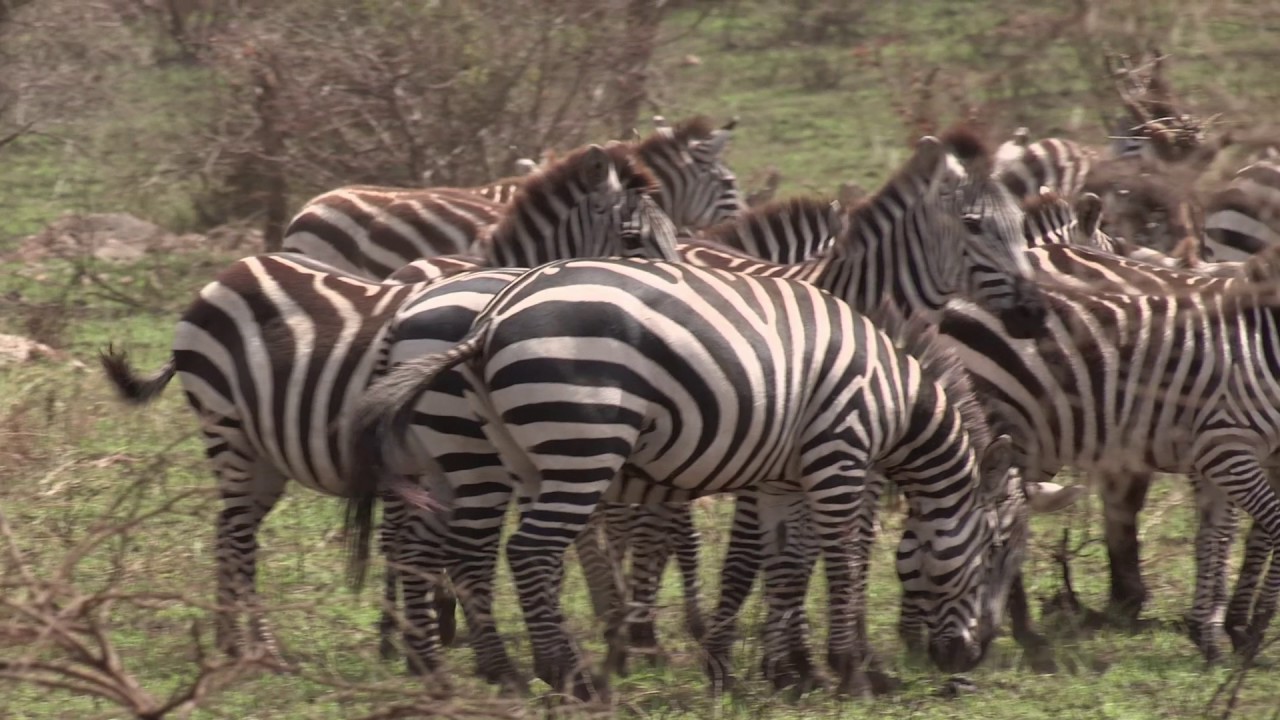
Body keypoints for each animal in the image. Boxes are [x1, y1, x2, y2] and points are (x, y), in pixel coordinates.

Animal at [92, 144, 677, 664]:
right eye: (633, 239)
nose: (677, 302)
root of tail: (225, 275)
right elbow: (416, 545)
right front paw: (411, 634)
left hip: (262, 452)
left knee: (228, 530)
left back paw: (230, 641)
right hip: (226, 427)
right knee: (237, 536)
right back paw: (262, 649)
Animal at [342, 257, 1034, 700]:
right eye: (996, 550)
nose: (970, 659)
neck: (897, 400)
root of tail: (490, 315)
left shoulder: (783, 479)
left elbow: (785, 565)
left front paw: (787, 672)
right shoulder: (839, 453)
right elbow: (836, 561)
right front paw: (847, 671)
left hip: (464, 456)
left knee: (446, 552)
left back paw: (461, 668)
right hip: (570, 443)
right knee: (520, 552)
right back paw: (563, 677)